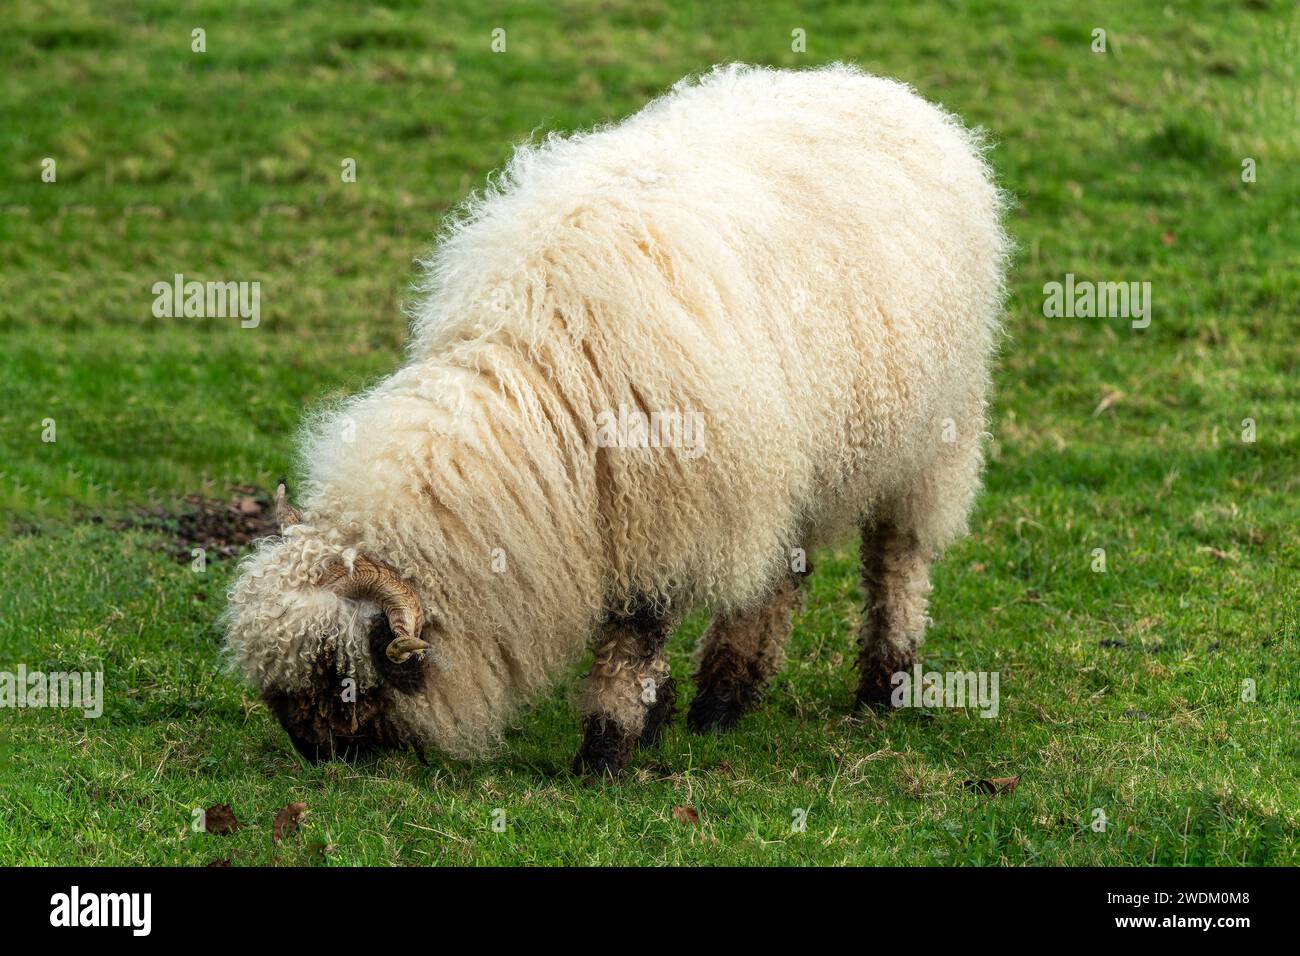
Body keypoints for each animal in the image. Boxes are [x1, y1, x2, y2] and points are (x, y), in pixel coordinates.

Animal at [224, 63, 1009, 775]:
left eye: (340, 675)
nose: (316, 756)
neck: (539, 379)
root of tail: (885, 89)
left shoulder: (663, 509)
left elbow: (633, 637)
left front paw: (606, 751)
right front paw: (656, 722)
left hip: (934, 435)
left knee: (897, 559)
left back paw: (883, 684)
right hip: (798, 453)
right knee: (779, 575)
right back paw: (724, 701)